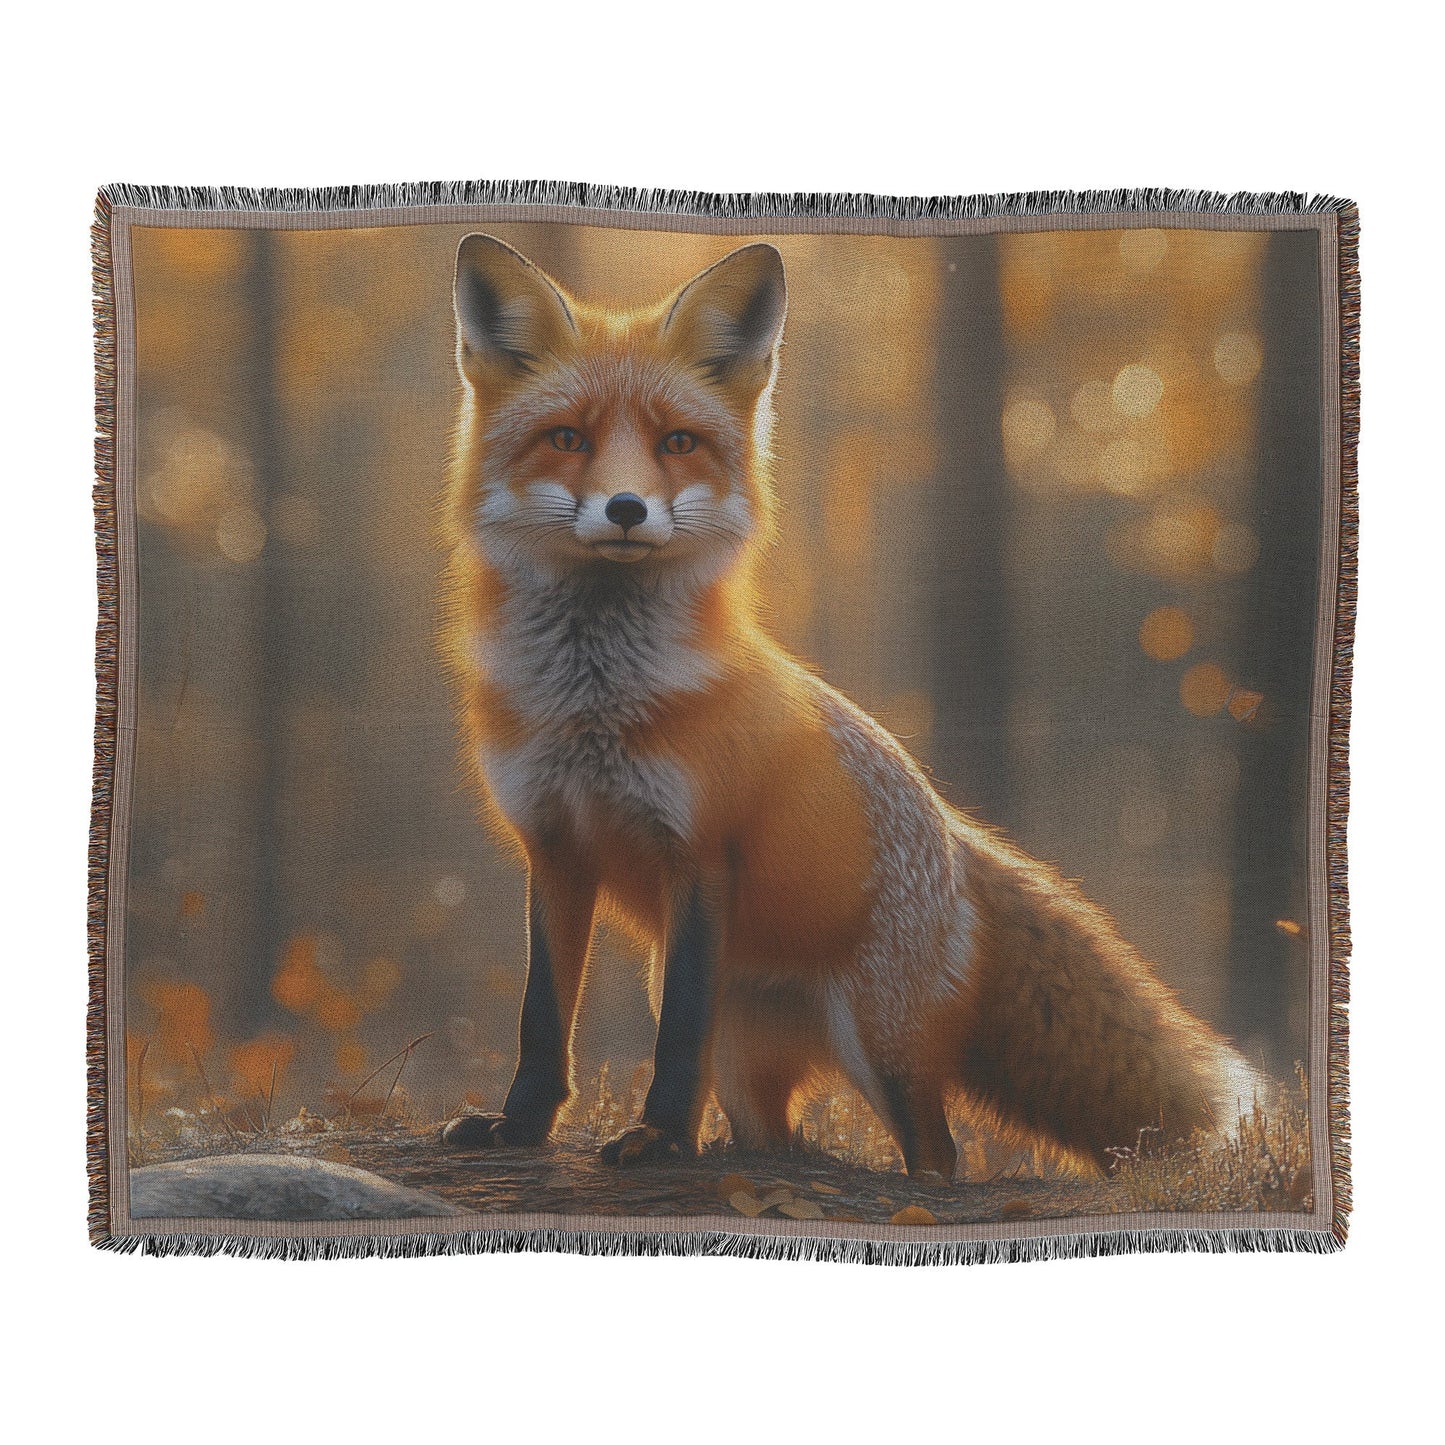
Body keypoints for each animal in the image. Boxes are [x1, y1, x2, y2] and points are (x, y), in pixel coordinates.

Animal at [438, 233, 1261, 1179]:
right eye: (566, 438)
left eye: (677, 441)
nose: (626, 507)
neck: (593, 701)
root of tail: (953, 834)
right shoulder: (556, 849)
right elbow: (541, 1018)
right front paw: (519, 1126)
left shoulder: (699, 853)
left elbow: (675, 1034)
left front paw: (661, 1138)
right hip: (747, 1060)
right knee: (777, 1136)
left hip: (881, 1048)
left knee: (937, 1156)